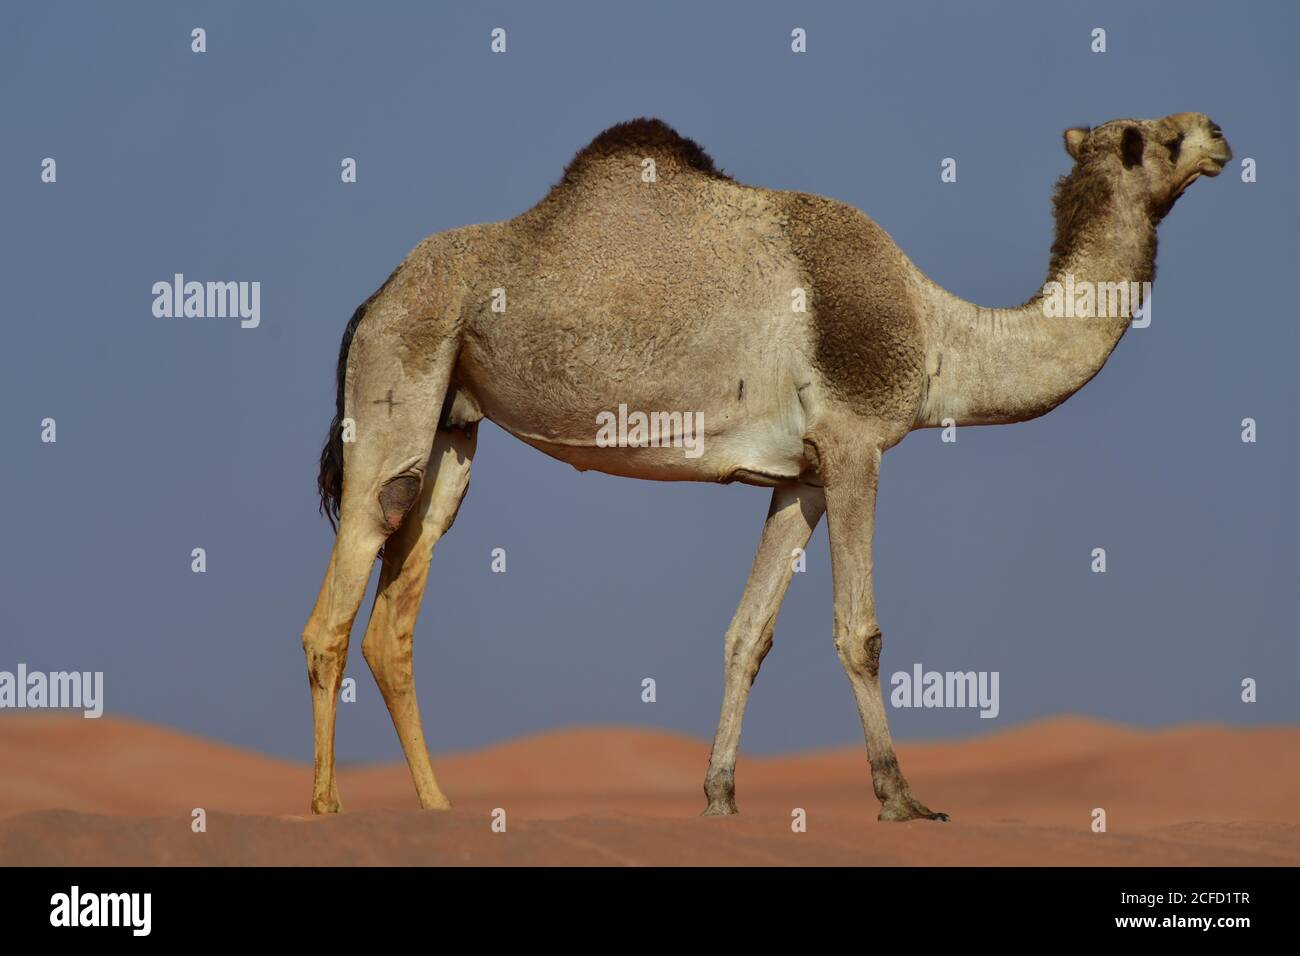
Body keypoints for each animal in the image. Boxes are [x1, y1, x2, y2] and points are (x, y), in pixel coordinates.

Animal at [302, 112, 1231, 820]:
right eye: (1152, 136)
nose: (1218, 133)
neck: (939, 339)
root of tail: (374, 297)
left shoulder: (800, 477)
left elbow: (748, 635)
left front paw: (719, 797)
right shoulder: (856, 446)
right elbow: (860, 632)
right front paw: (901, 800)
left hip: (451, 428)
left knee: (394, 613)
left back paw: (437, 806)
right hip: (399, 375)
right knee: (336, 606)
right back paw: (326, 808)